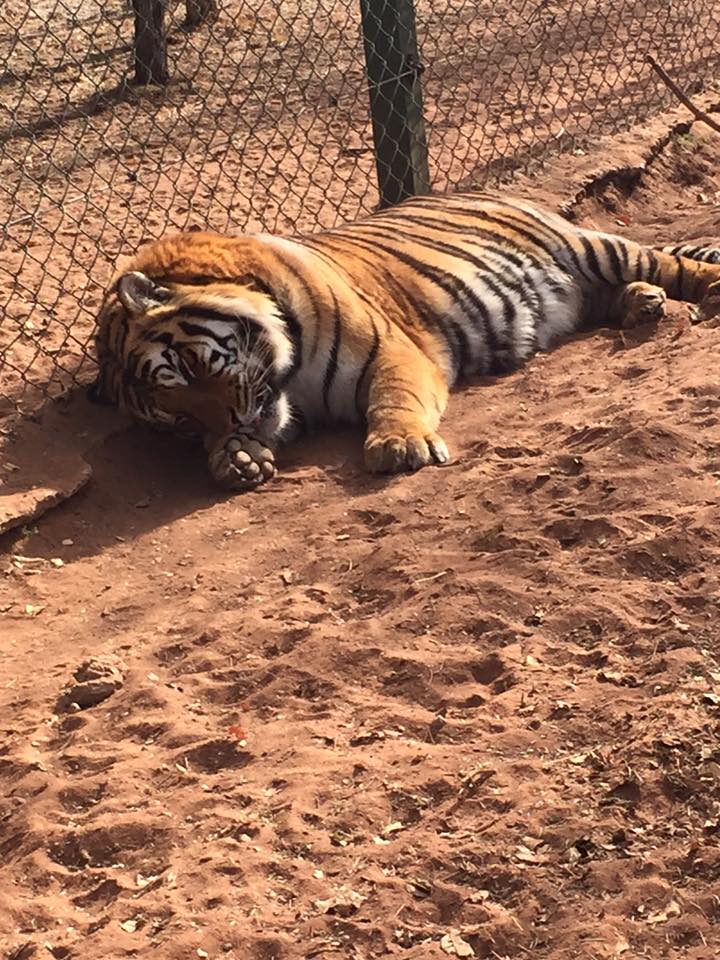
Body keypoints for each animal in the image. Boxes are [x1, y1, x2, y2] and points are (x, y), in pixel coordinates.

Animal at [90, 191, 720, 490]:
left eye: (190, 366)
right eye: (178, 420)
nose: (234, 426)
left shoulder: (393, 350)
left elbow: (395, 398)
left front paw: (399, 445)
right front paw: (235, 458)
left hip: (597, 248)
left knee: (668, 261)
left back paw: (703, 289)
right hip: (580, 286)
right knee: (605, 296)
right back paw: (640, 304)